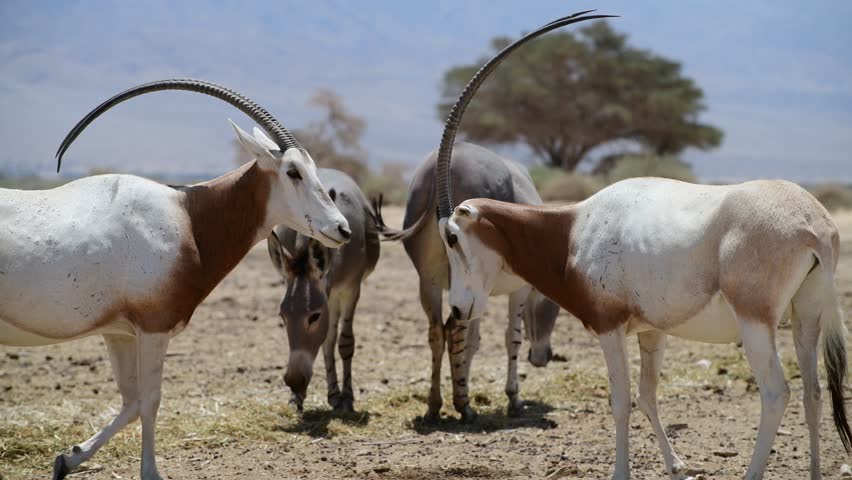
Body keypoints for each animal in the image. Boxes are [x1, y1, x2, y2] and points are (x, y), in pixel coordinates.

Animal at [0, 79, 351, 480]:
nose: (342, 229)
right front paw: (151, 473)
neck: (188, 219)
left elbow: (131, 401)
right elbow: (150, 400)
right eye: (293, 172)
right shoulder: (154, 328)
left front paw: (67, 458)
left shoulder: (120, 332)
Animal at [267, 168, 380, 413]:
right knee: (328, 339)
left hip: (338, 295)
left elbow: (345, 343)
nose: (294, 380)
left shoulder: (351, 289)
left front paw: (347, 398)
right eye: (282, 316)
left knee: (333, 339)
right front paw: (296, 398)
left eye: (315, 316)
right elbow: (326, 339)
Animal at [371, 143, 560, 422]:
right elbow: (510, 338)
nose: (542, 357)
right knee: (452, 329)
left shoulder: (476, 294)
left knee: (437, 332)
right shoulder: (518, 290)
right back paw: (463, 405)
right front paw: (514, 399)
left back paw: (435, 406)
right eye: (554, 307)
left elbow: (472, 342)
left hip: (429, 282)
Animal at [433, 12, 850, 480]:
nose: (458, 308)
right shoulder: (653, 331)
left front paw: (621, 472)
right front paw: (676, 464)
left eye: (452, 237)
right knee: (814, 393)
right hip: (806, 315)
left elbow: (620, 401)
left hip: (755, 320)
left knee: (777, 392)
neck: (572, 231)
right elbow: (648, 396)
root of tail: (813, 223)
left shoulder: (608, 326)